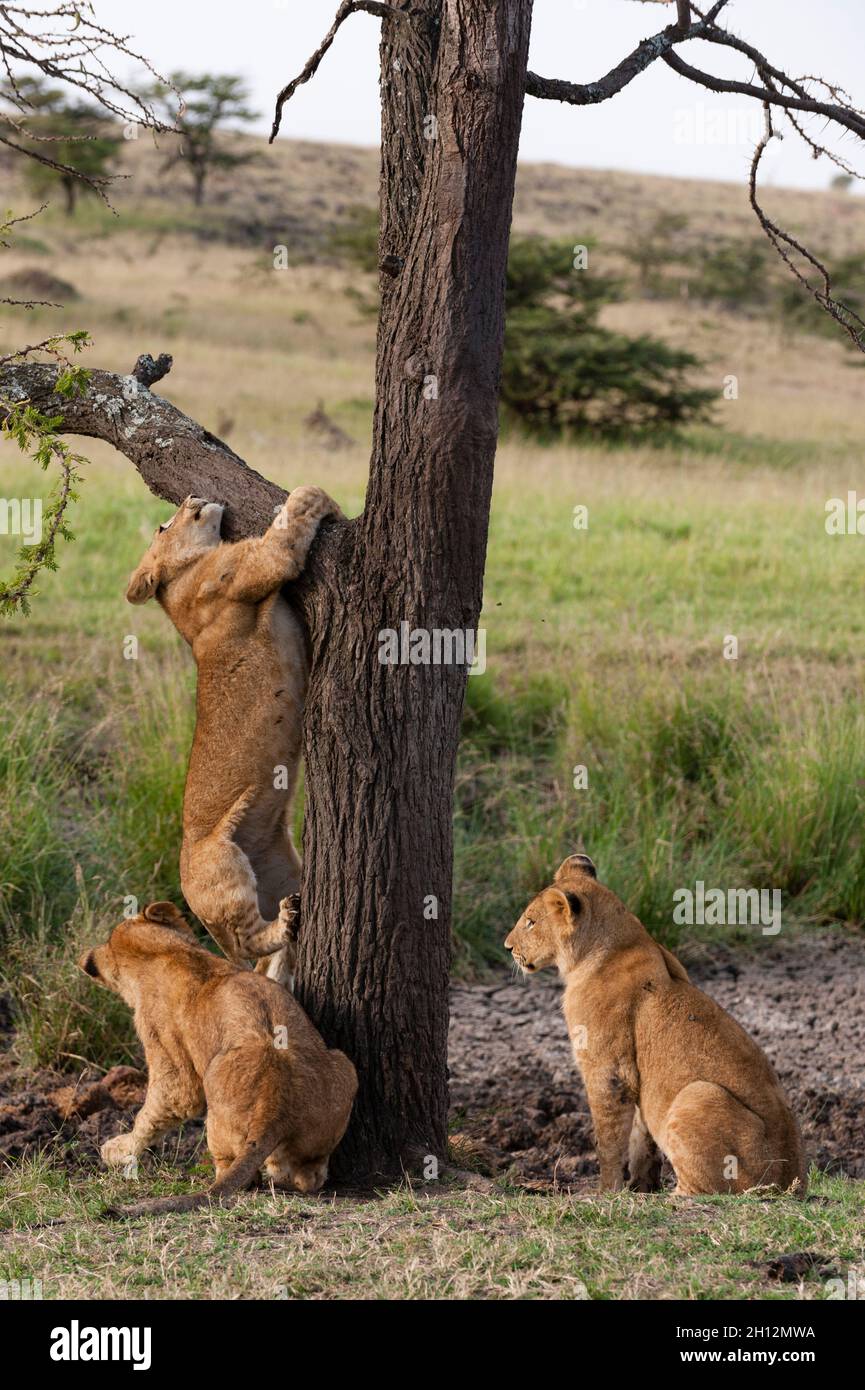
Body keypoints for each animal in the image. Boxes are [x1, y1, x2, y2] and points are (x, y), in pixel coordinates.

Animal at [79, 902, 357, 1216]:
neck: (166, 952)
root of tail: (275, 1105)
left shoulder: (164, 1049)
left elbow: (158, 1109)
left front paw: (117, 1149)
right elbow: (274, 965)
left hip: (214, 1101)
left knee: (237, 1172)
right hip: (344, 1065)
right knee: (308, 1176)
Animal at [126, 486, 342, 987]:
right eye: (163, 526)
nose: (191, 495)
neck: (177, 588)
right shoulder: (259, 564)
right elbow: (292, 520)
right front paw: (316, 498)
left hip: (284, 869)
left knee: (267, 956)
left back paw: (286, 943)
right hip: (222, 864)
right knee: (247, 941)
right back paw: (283, 927)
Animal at [505, 854, 806, 1197]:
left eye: (531, 922)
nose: (507, 947)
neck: (612, 945)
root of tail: (790, 1183)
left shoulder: (608, 1070)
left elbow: (608, 1140)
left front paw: (606, 1191)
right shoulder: (635, 1078)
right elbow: (641, 1136)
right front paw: (640, 1186)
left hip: (698, 1093)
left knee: (705, 1190)